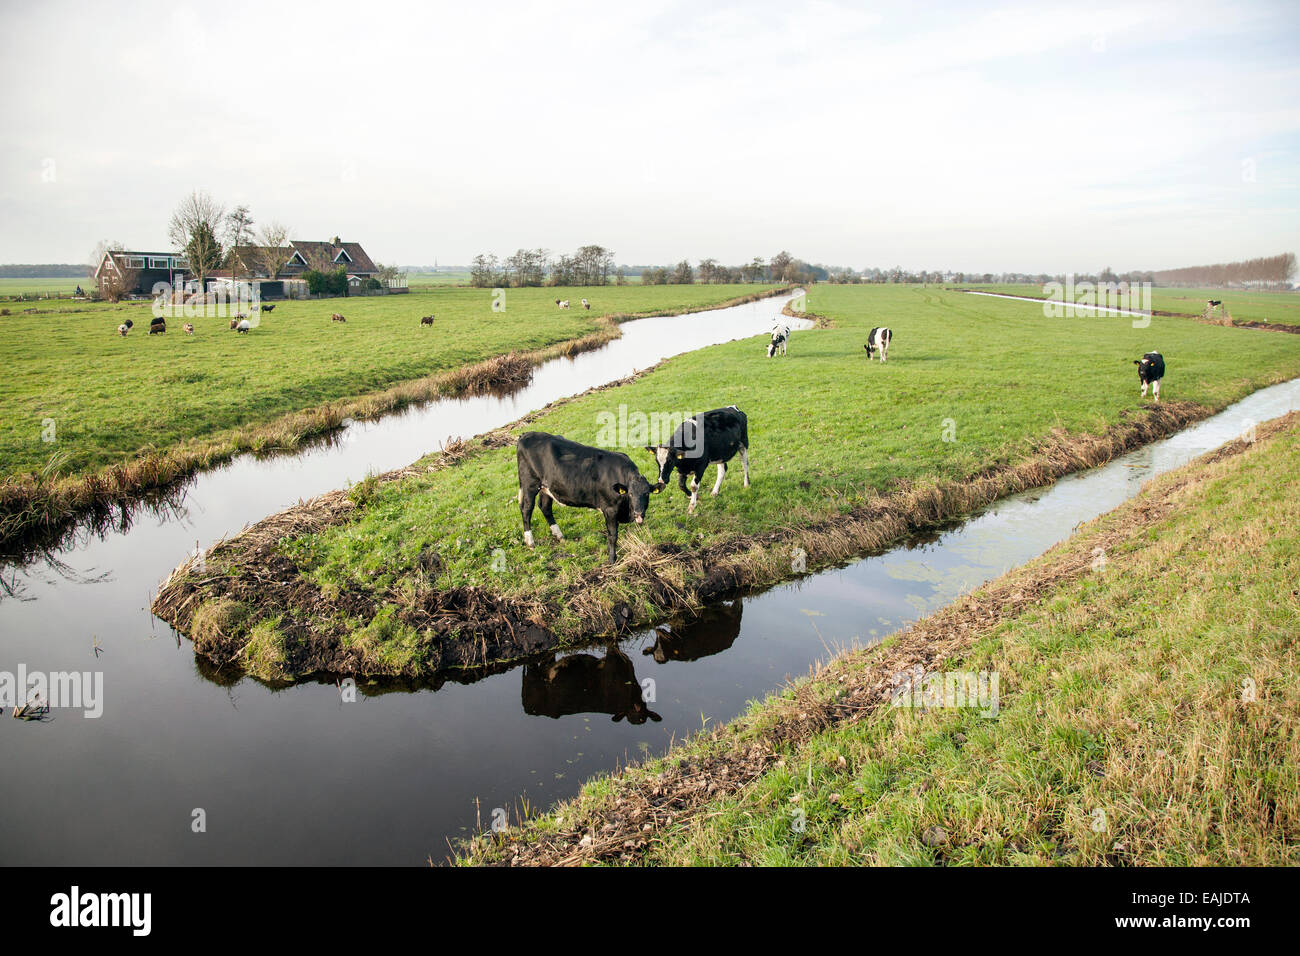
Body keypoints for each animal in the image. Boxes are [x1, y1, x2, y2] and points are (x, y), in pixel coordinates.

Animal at [516, 431, 656, 563]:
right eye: (630, 493)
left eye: (647, 493)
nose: (639, 512)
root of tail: (526, 434)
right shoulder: (610, 509)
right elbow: (613, 535)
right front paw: (612, 559)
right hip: (529, 483)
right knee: (527, 509)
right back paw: (530, 541)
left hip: (546, 488)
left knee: (545, 507)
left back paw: (559, 535)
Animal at [522, 646, 661, 724]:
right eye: (630, 712)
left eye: (643, 714)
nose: (637, 706)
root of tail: (529, 710)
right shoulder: (611, 658)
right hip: (532, 678)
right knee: (531, 665)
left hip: (546, 668)